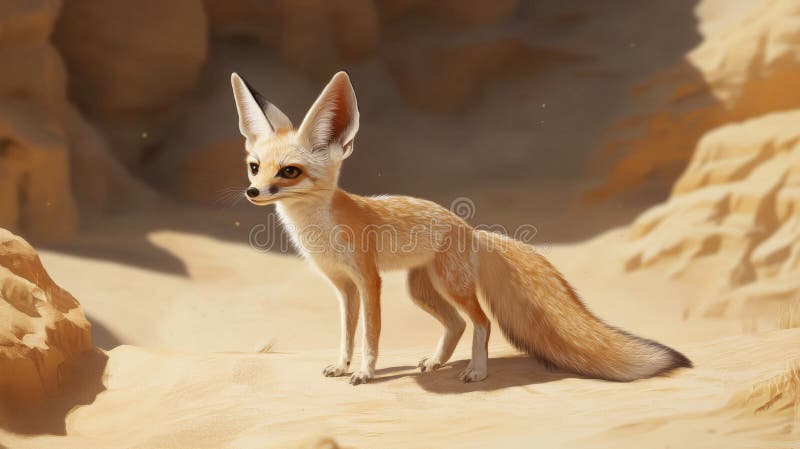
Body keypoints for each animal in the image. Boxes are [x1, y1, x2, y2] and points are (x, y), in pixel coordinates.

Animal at [230, 71, 692, 385]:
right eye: (254, 166)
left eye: (289, 172)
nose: (253, 192)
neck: (319, 230)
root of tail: (472, 229)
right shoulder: (344, 288)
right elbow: (347, 334)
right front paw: (343, 367)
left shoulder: (369, 281)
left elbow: (371, 335)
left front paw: (364, 373)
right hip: (421, 289)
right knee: (456, 325)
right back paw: (437, 362)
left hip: (448, 286)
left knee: (482, 322)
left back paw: (477, 372)